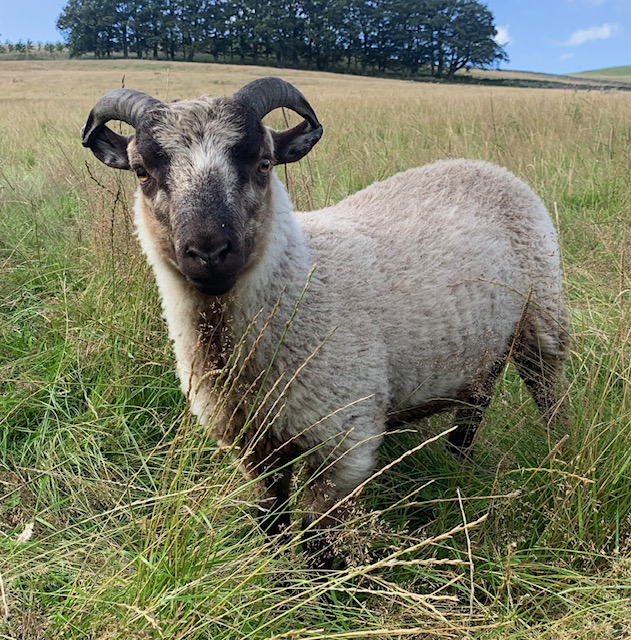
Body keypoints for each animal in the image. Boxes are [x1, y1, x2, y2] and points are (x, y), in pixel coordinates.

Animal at [82, 77, 570, 569]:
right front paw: (277, 576)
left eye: (263, 164)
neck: (304, 278)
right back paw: (458, 464)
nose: (209, 252)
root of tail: (482, 165)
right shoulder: (253, 446)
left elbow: (317, 540)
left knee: (549, 397)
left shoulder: (343, 441)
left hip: (542, 318)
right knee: (475, 406)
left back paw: (560, 459)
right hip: (482, 348)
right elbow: (271, 521)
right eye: (141, 172)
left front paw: (315, 588)